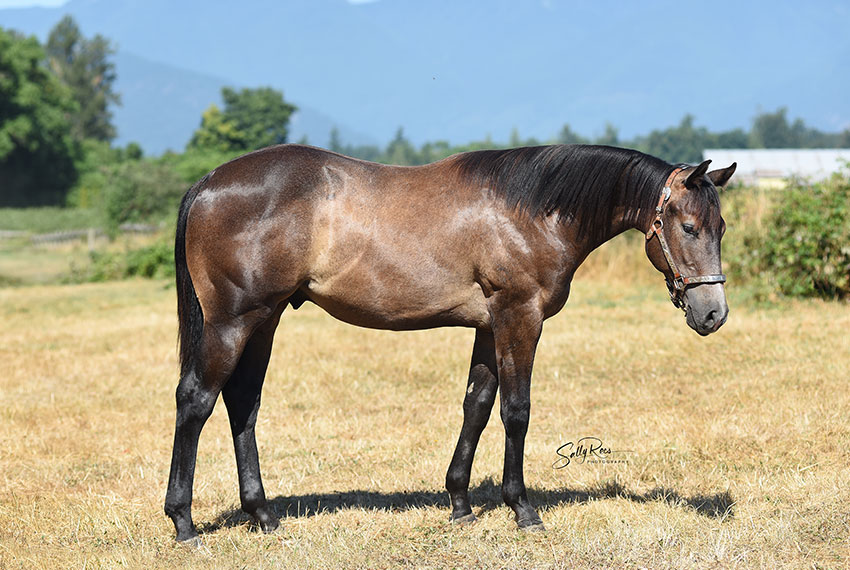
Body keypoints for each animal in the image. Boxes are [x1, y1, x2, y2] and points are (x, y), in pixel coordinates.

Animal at [164, 143, 736, 544]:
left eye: (722, 226)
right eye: (688, 226)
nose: (713, 313)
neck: (532, 210)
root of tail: (209, 182)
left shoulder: (488, 326)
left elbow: (476, 406)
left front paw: (460, 503)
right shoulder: (519, 317)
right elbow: (516, 411)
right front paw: (522, 509)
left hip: (264, 321)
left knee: (242, 404)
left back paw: (262, 514)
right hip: (233, 322)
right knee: (195, 401)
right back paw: (183, 523)